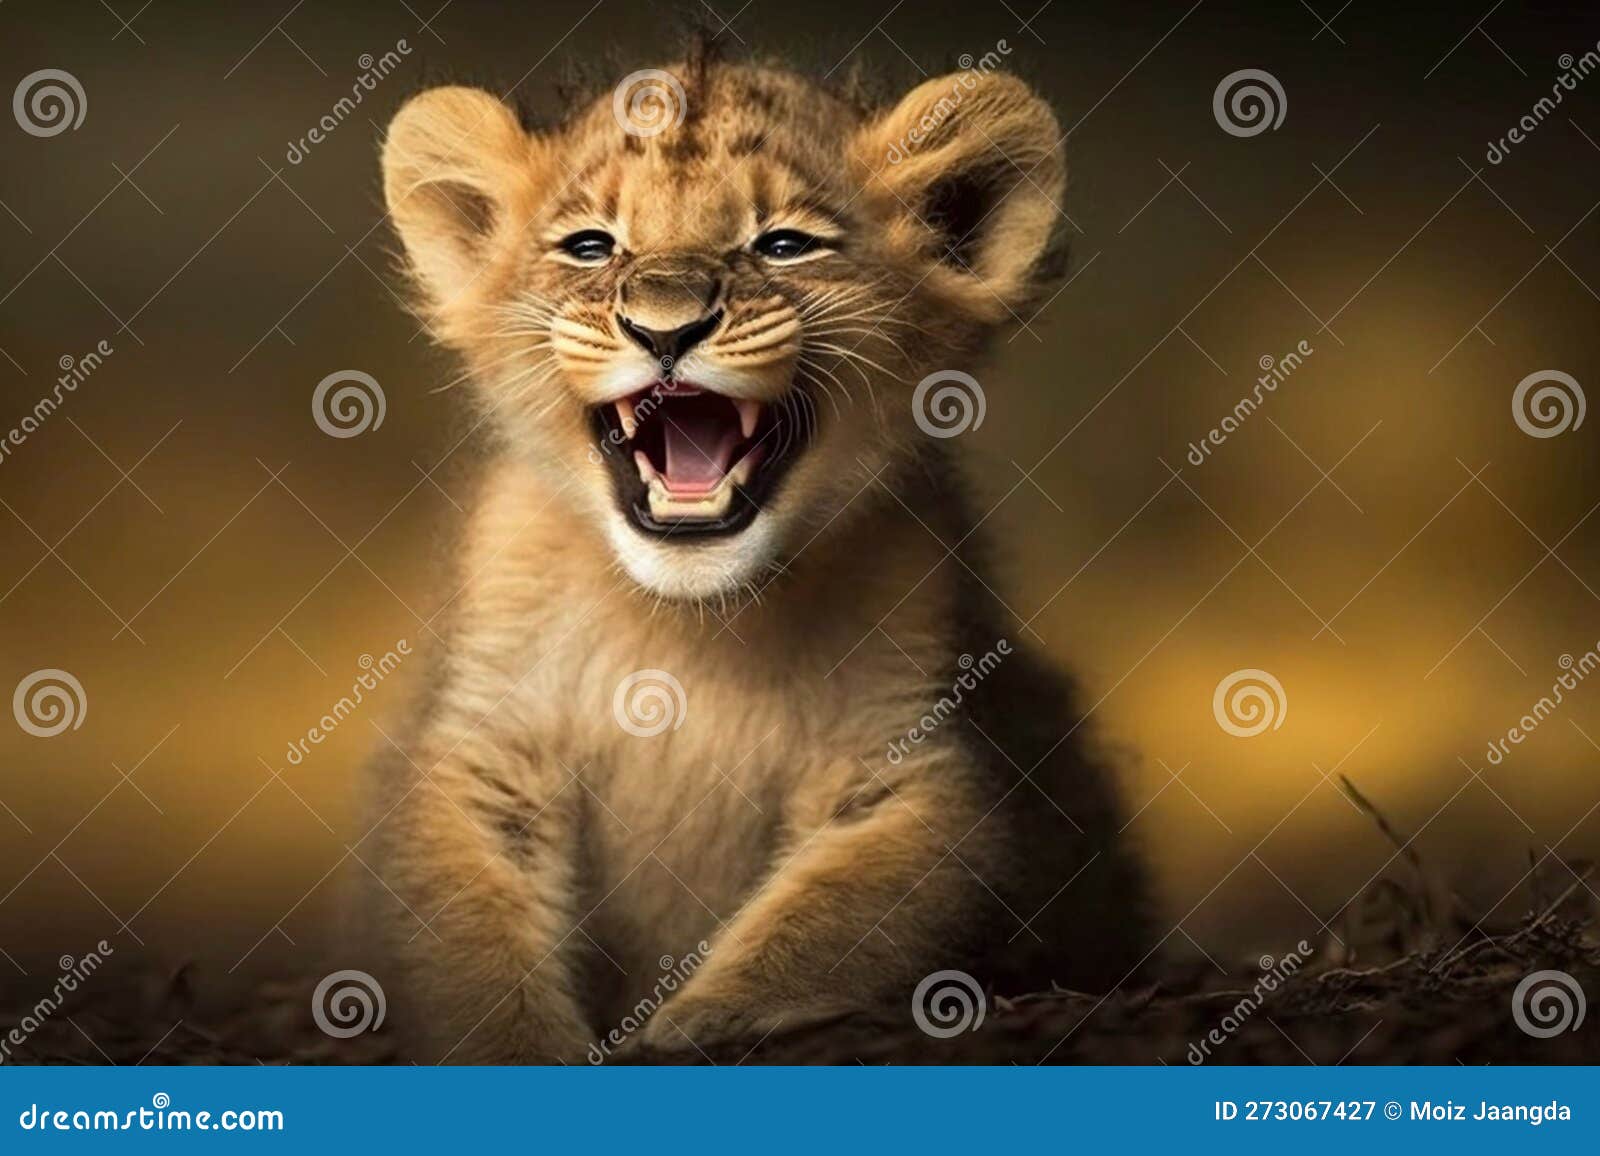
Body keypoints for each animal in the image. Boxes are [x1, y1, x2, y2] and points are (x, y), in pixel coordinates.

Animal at [364, 47, 1150, 1063]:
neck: (689, 623)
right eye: (590, 246)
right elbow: (467, 944)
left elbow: (834, 919)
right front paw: (524, 1048)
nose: (665, 328)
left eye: (782, 244)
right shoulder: (483, 753)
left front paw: (693, 1026)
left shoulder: (911, 761)